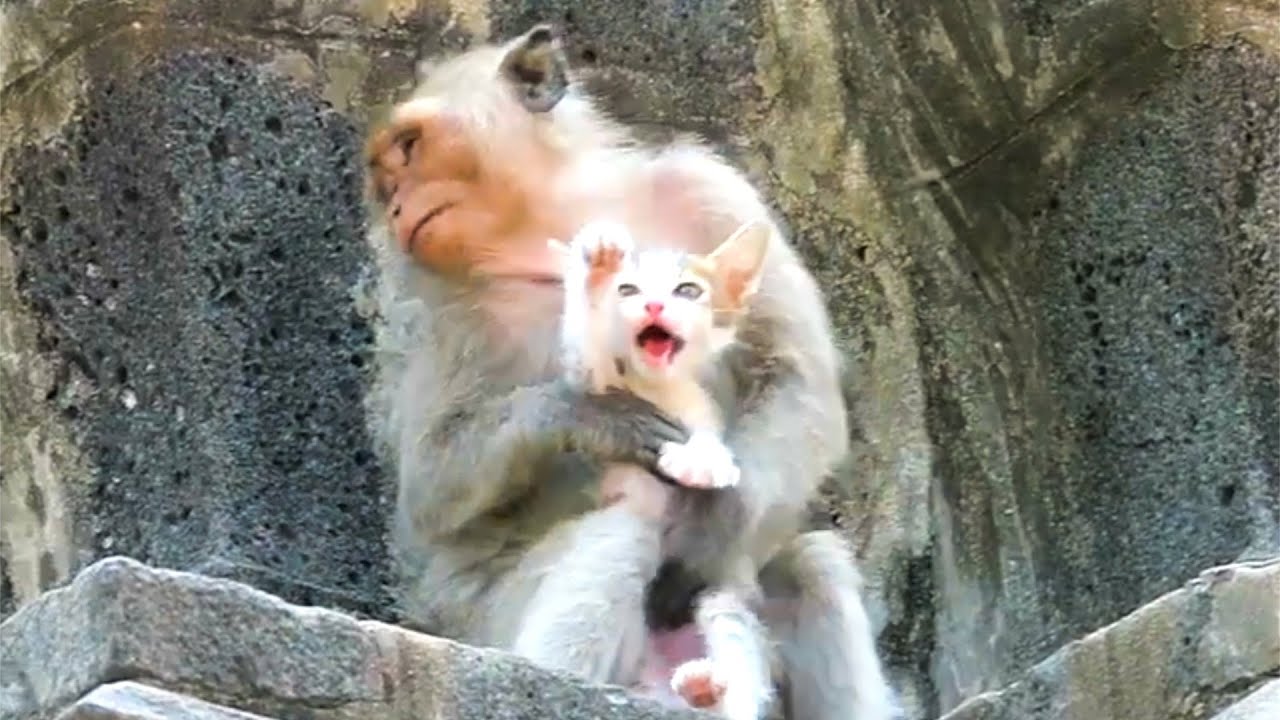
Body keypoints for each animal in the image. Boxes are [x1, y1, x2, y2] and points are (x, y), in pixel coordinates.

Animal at [551, 218, 776, 718]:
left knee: (729, 627)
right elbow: (586, 357)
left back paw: (708, 687)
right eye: (628, 289)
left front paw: (705, 460)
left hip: (717, 603)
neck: (658, 390)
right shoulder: (597, 387)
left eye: (688, 289)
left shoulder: (703, 410)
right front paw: (596, 266)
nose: (653, 304)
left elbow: (710, 437)